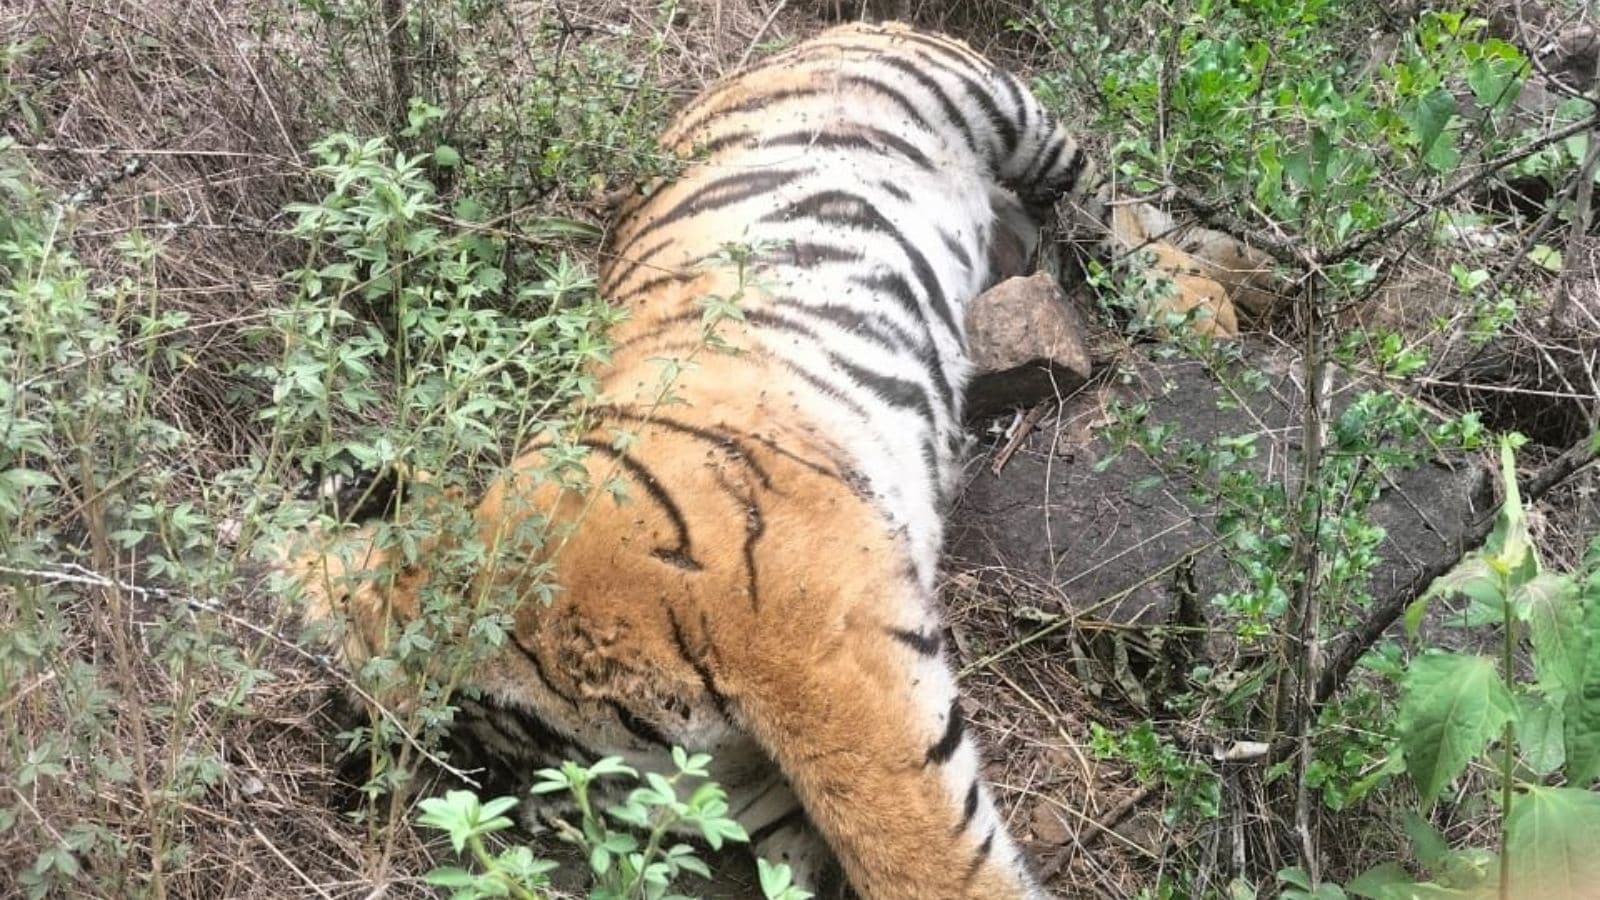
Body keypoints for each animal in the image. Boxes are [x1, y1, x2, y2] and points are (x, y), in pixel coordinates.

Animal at [287, 21, 1225, 900]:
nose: (359, 773)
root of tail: (800, 41)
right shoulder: (734, 773)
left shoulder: (824, 654)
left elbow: (912, 848)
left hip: (996, 106)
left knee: (1103, 194)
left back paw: (1195, 297)